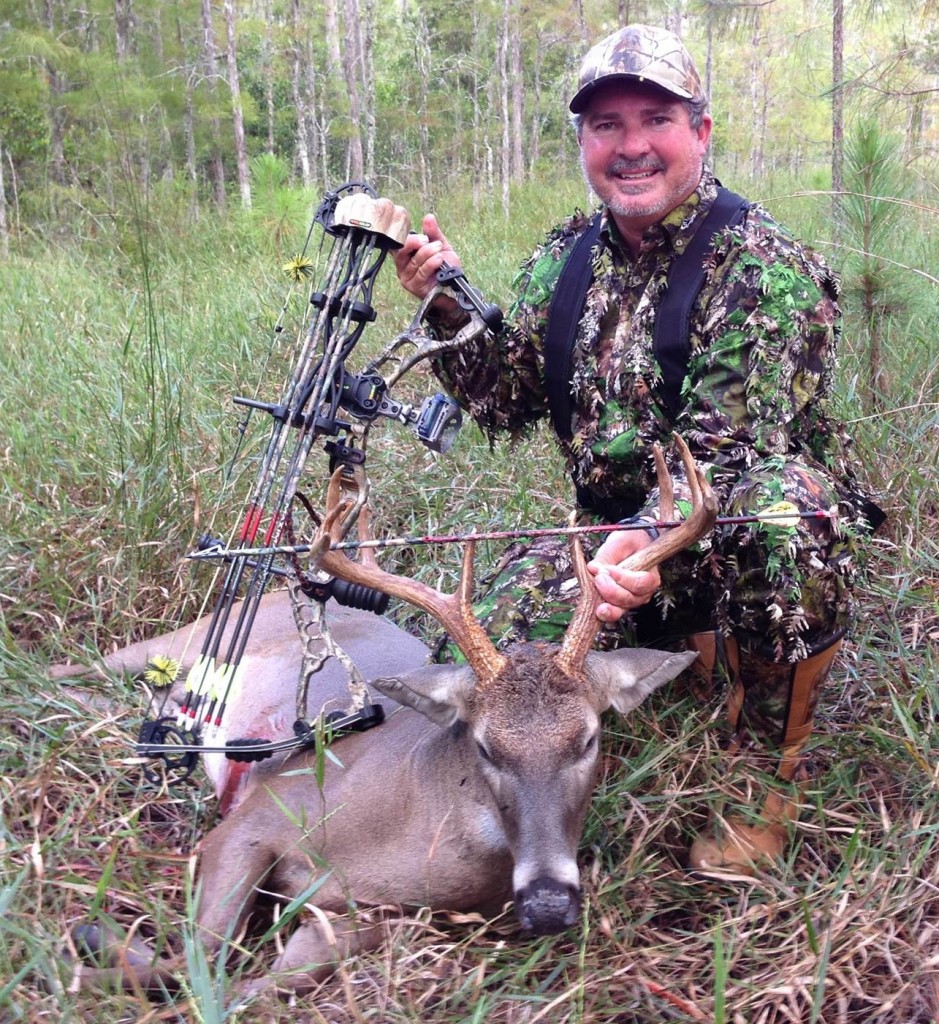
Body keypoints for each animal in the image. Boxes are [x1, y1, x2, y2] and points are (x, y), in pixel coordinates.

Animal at [67, 435, 716, 998]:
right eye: (483, 746)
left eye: (587, 739)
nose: (548, 905)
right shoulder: (252, 819)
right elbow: (200, 956)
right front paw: (85, 947)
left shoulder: (369, 918)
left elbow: (258, 985)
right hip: (180, 641)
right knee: (84, 670)